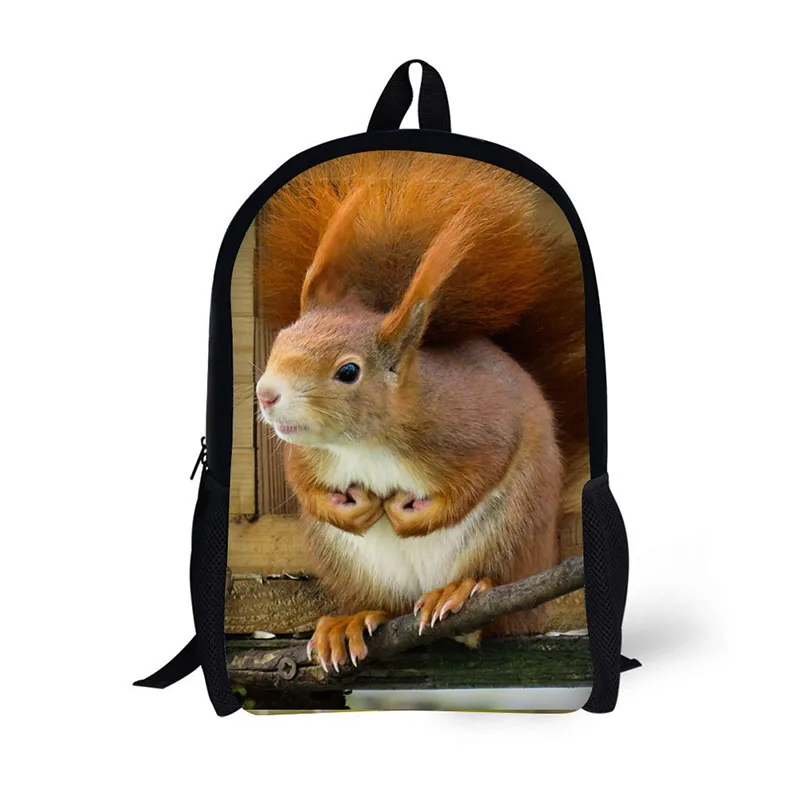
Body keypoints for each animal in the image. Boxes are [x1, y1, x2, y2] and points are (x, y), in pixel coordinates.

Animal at [254, 152, 588, 671]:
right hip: (351, 567)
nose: (266, 394)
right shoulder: (305, 452)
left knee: (493, 598)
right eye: (280, 340)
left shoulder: (474, 428)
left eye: (348, 372)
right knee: (383, 607)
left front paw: (410, 515)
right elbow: (302, 483)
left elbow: (480, 474)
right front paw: (350, 509)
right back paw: (350, 622)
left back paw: (459, 591)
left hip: (510, 539)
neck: (362, 443)